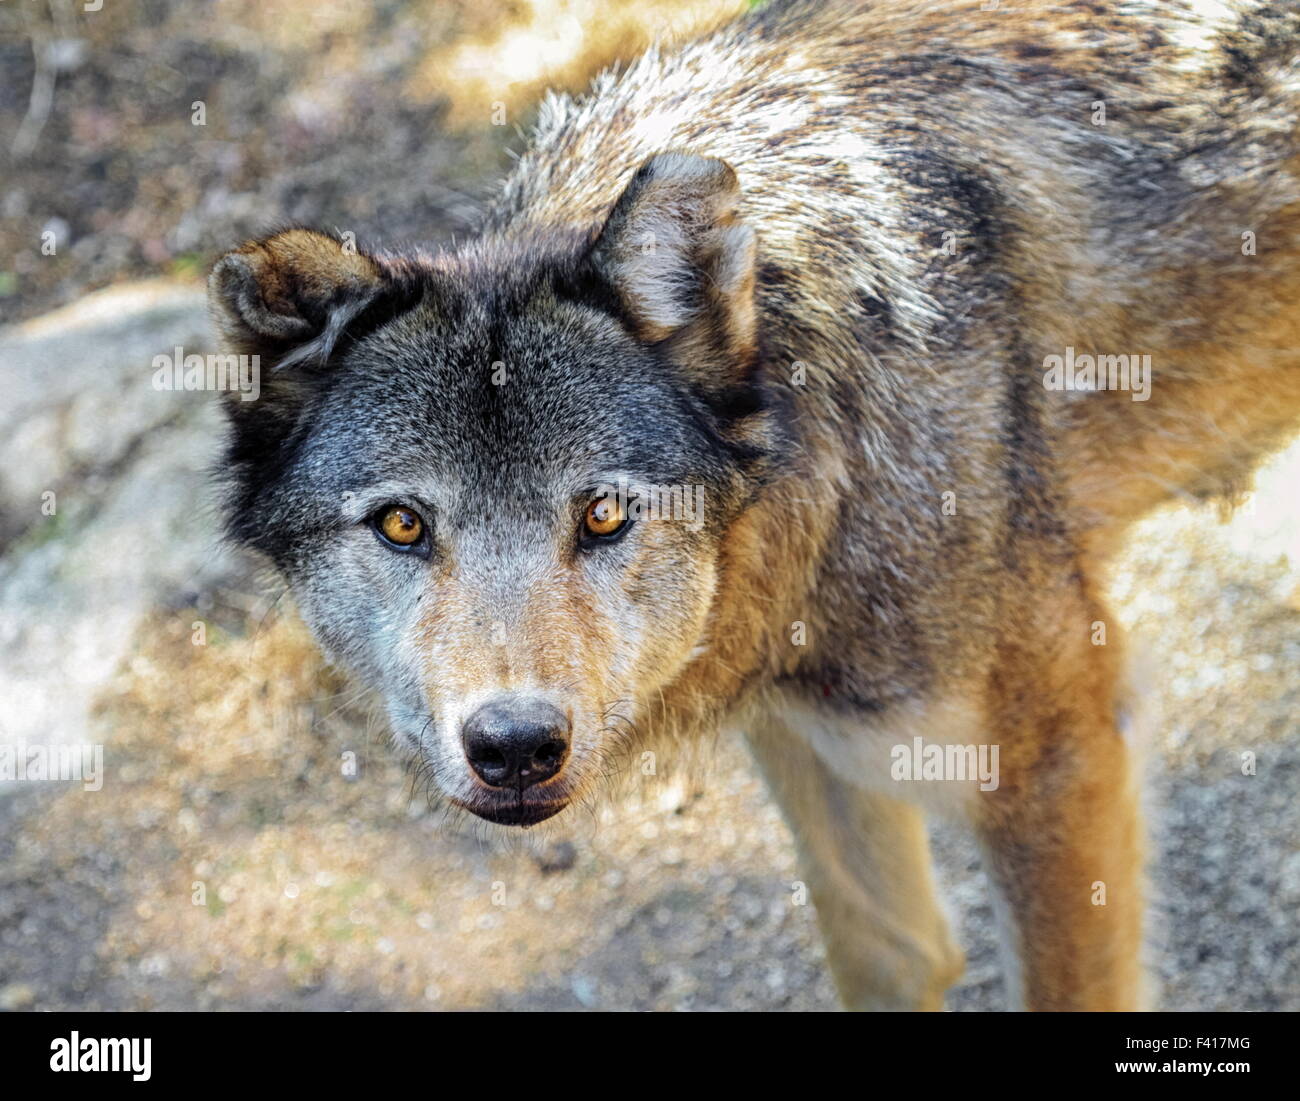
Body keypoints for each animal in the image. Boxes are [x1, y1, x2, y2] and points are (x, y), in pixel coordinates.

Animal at [207, 0, 1300, 1010]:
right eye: (403, 524)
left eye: (602, 516)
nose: (516, 745)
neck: (838, 439)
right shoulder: (802, 737)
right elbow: (892, 954)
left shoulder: (1061, 760)